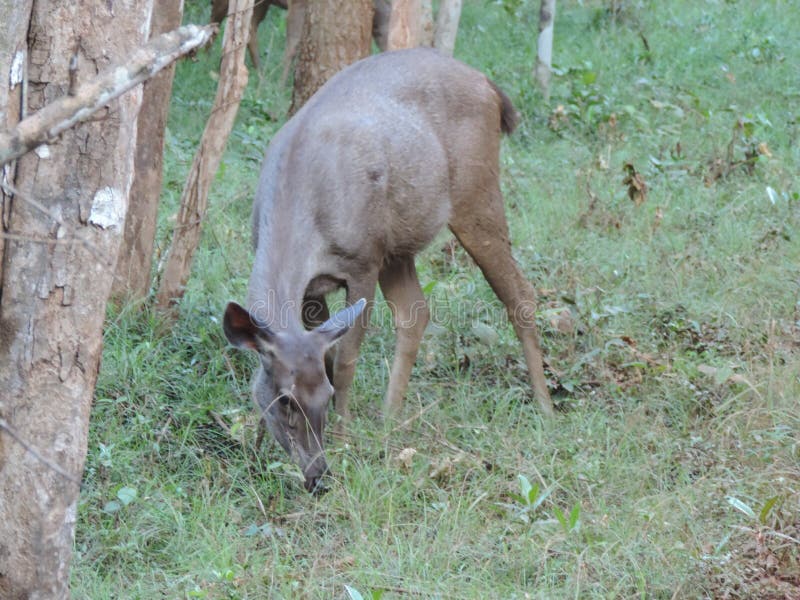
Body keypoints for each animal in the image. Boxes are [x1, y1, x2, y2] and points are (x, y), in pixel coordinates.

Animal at [223, 47, 554, 493]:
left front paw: (344, 437)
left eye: (324, 395)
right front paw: (257, 446)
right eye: (285, 399)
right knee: (415, 312)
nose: (318, 476)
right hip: (397, 247)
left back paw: (545, 406)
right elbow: (328, 352)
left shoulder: (361, 260)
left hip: (474, 192)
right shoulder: (316, 288)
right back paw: (389, 418)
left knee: (519, 292)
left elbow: (346, 358)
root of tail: (489, 85)